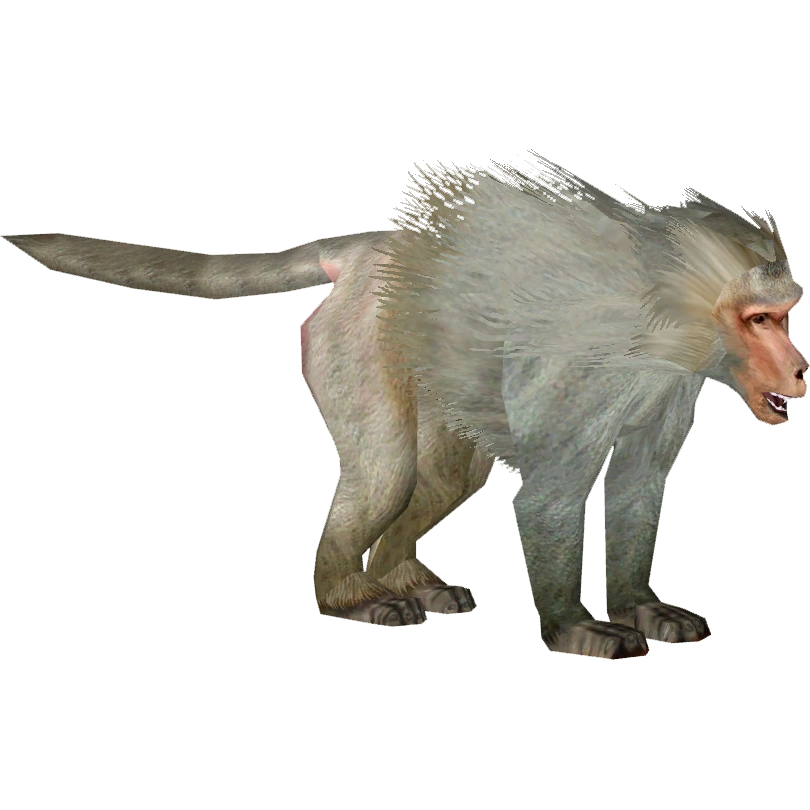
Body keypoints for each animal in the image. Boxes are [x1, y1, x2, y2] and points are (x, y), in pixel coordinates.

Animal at [2, 148, 806, 659]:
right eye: (759, 319)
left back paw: (404, 574)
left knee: (443, 476)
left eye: (784, 315)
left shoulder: (668, 388)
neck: (669, 321)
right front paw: (573, 626)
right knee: (387, 472)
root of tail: (368, 250)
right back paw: (349, 597)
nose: (799, 370)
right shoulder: (583, 375)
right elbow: (551, 494)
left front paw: (642, 603)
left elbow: (637, 491)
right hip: (361, 331)